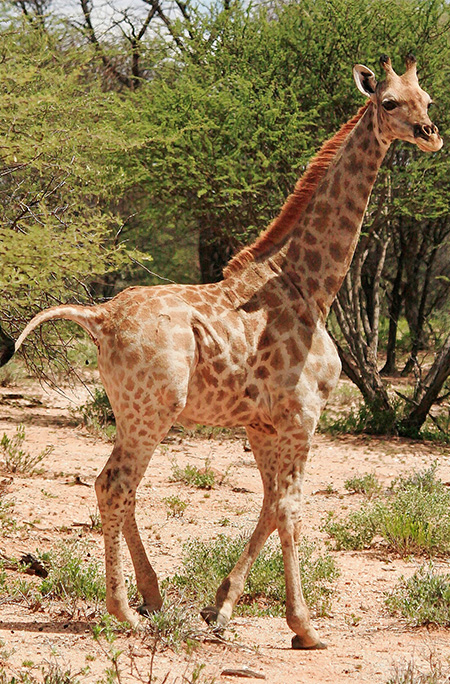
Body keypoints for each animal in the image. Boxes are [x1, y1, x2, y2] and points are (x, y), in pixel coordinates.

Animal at [0, 56, 442, 649]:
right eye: (389, 102)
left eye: (428, 99)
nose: (430, 134)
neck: (311, 285)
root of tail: (98, 319)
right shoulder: (304, 415)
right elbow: (290, 508)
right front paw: (304, 628)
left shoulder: (262, 422)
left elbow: (270, 504)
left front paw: (222, 606)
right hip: (154, 410)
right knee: (114, 484)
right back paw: (125, 612)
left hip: (130, 410)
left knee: (120, 487)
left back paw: (152, 597)